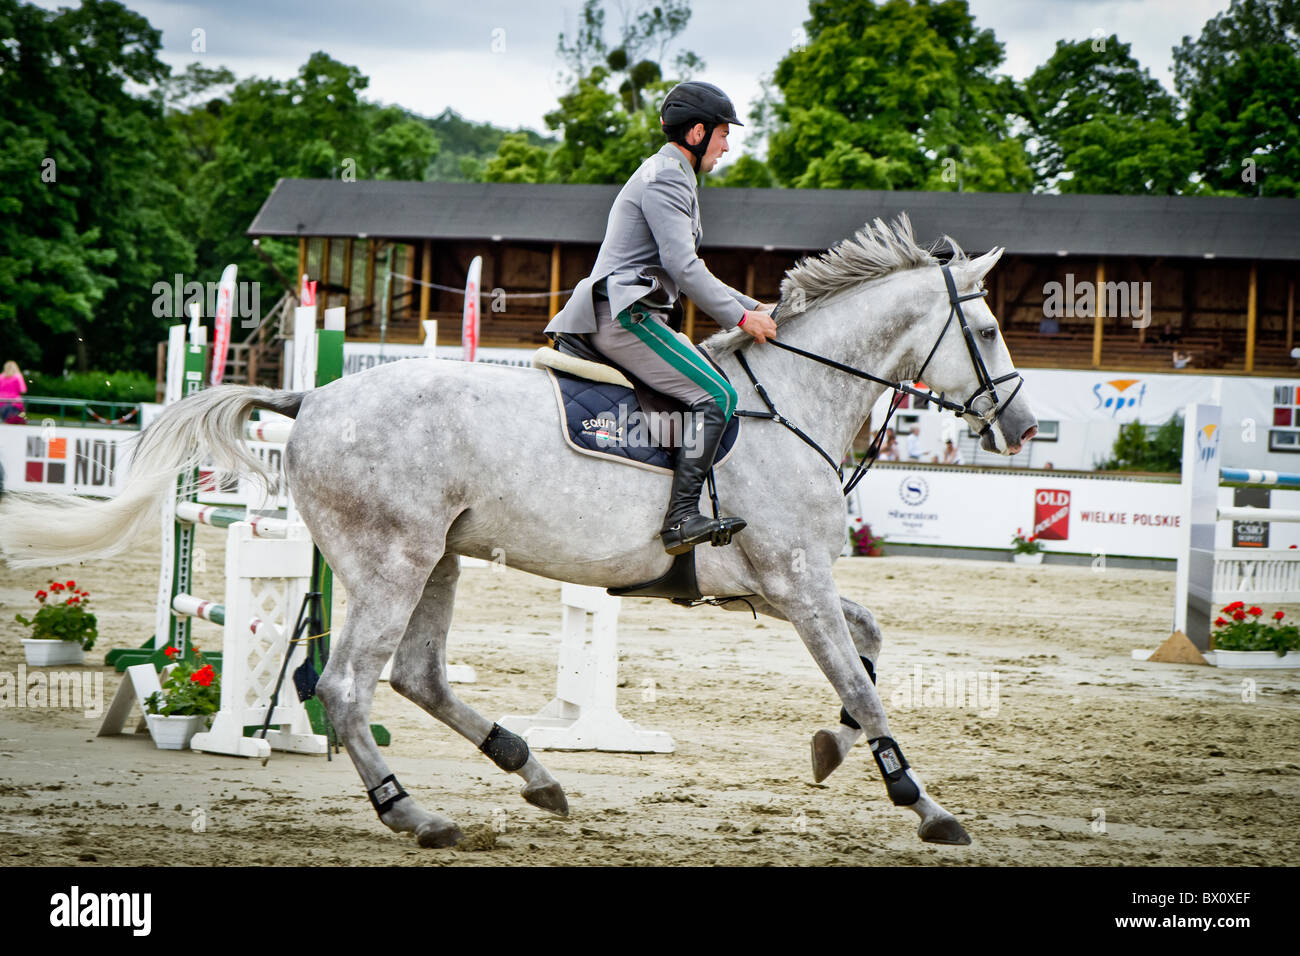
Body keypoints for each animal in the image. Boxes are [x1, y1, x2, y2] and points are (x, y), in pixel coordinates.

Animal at [0, 215, 1037, 848]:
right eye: (986, 330)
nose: (1022, 429)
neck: (794, 401)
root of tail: (312, 397)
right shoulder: (794, 579)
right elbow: (864, 684)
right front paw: (924, 805)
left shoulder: (779, 584)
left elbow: (868, 647)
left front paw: (830, 749)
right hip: (392, 562)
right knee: (343, 686)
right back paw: (413, 813)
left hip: (438, 561)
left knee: (414, 677)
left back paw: (530, 770)